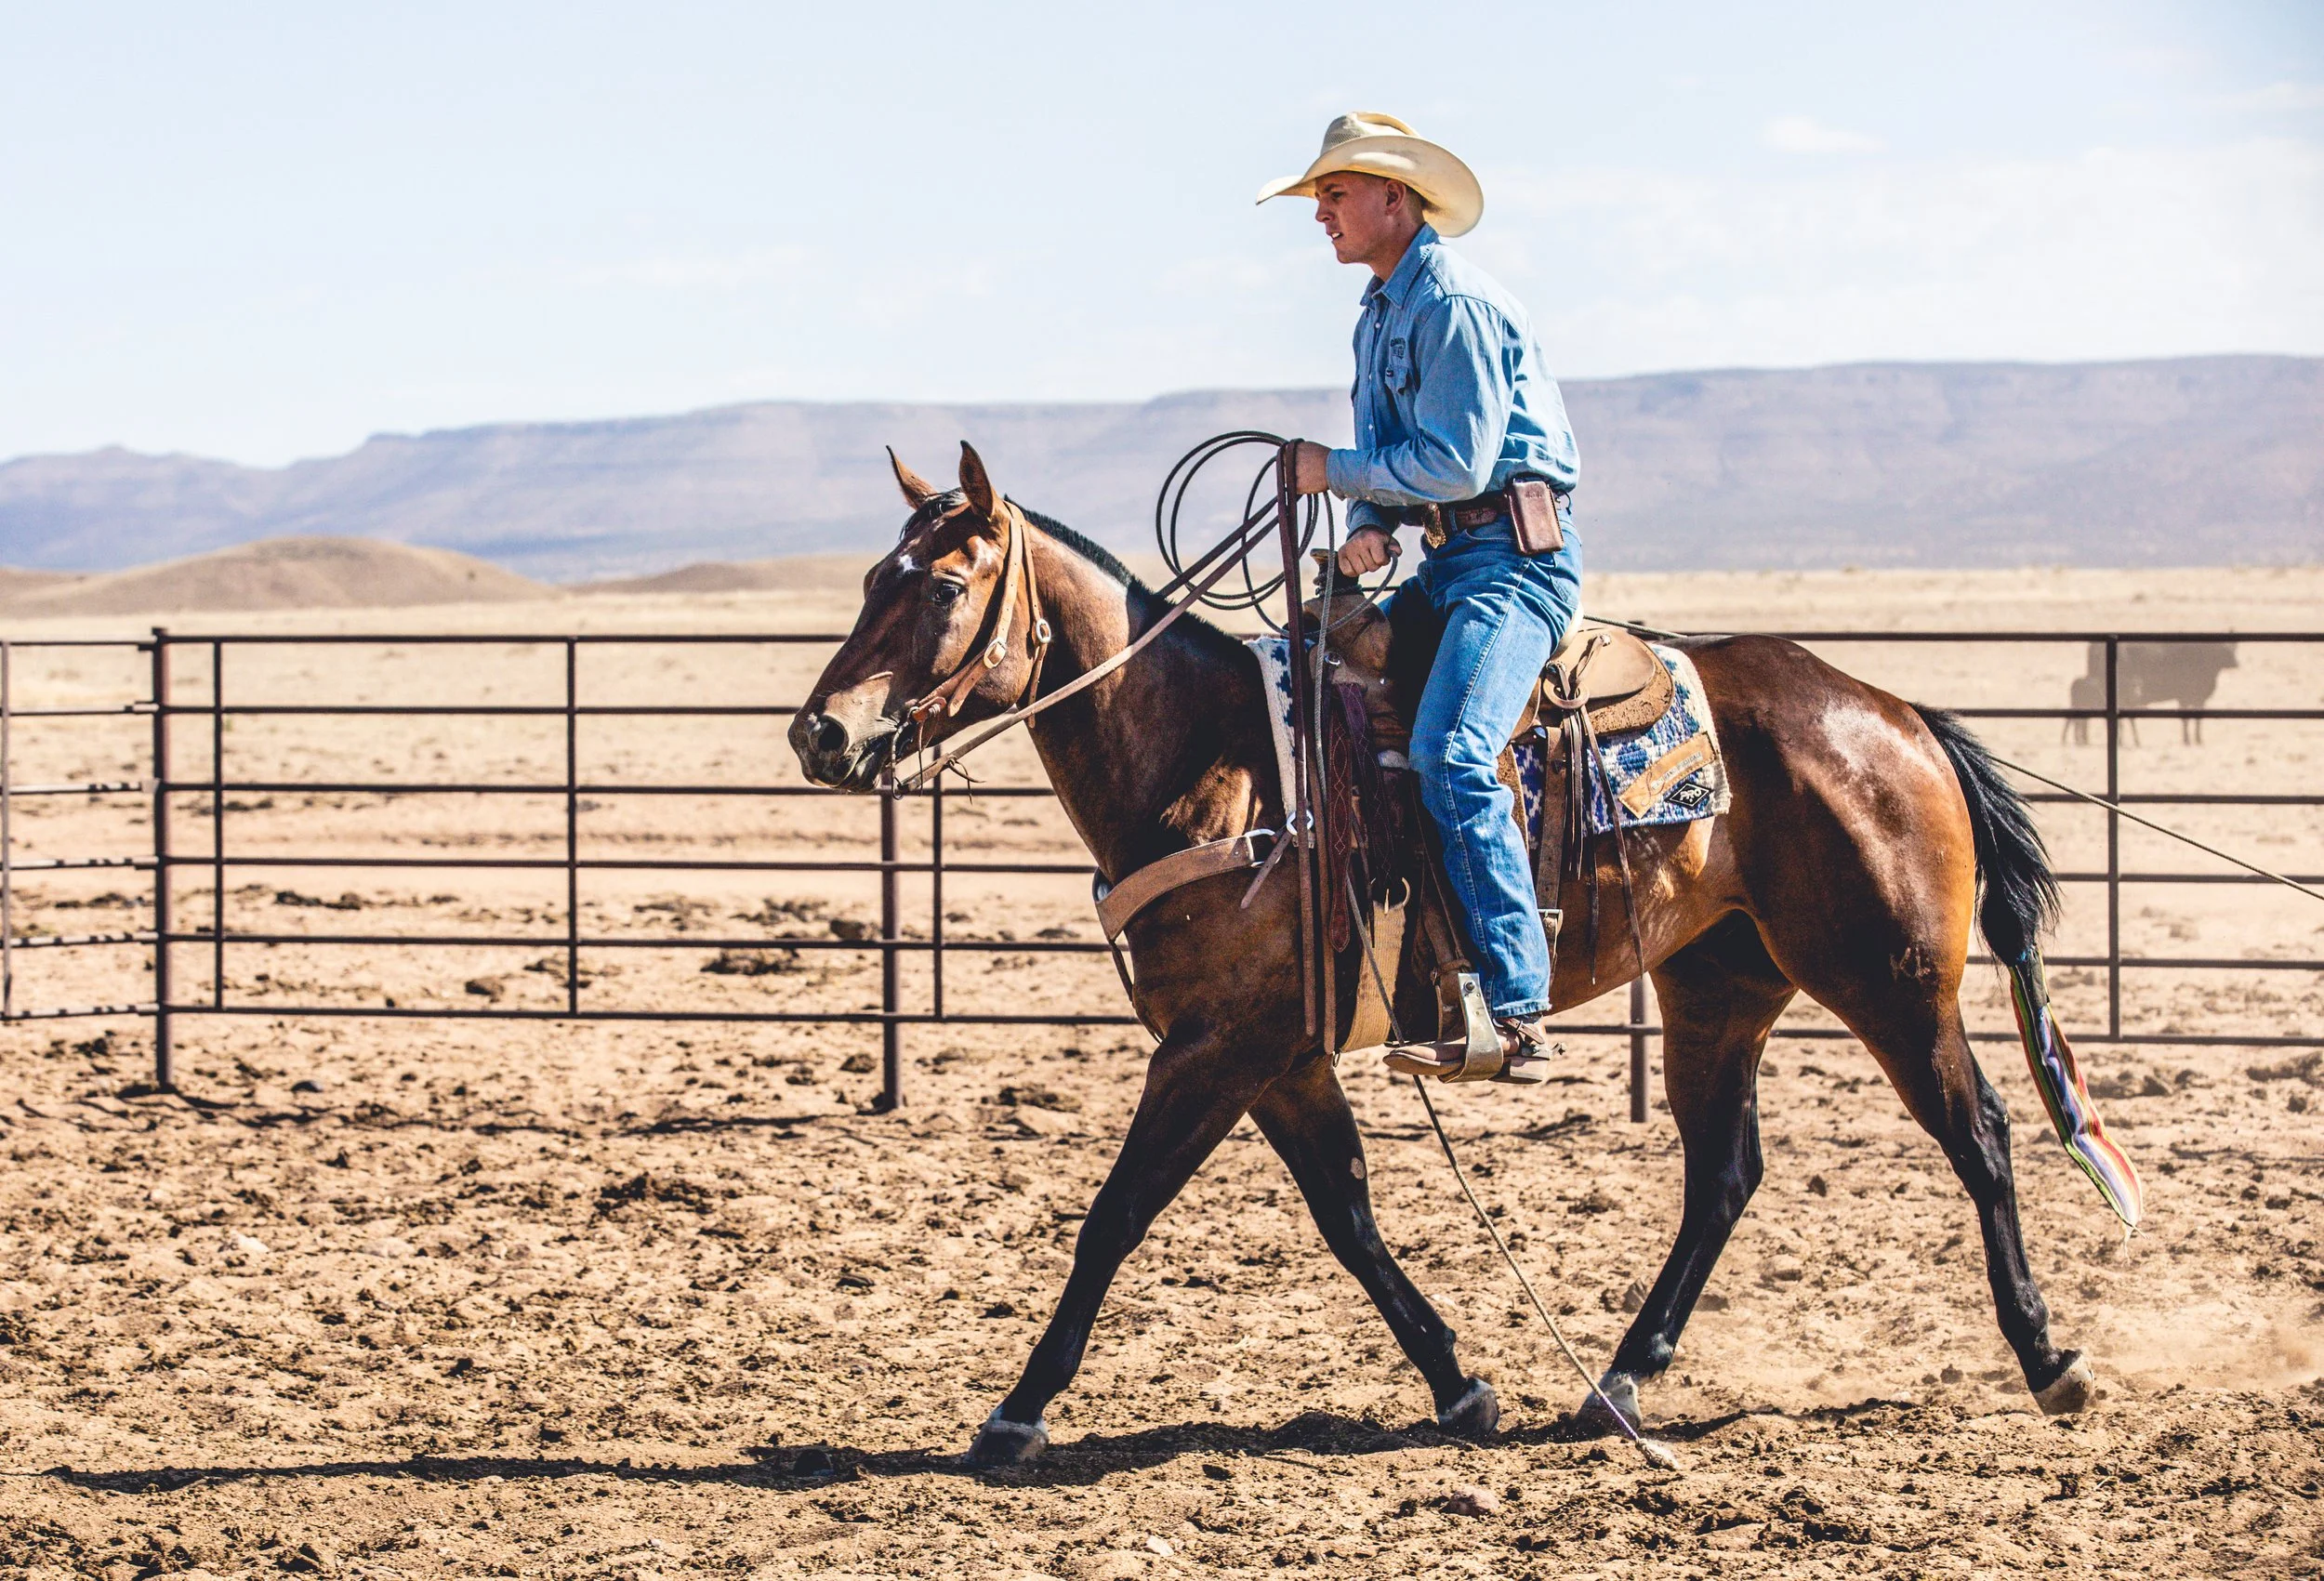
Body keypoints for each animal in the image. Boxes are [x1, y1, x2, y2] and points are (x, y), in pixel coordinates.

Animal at [791, 443, 2097, 1466]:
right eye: (867, 579)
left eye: (944, 583)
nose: (820, 735)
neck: (1214, 761)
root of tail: (1897, 714)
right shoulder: (1277, 1054)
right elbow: (1347, 1214)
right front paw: (1459, 1386)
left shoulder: (1215, 1048)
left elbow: (1115, 1213)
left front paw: (1015, 1412)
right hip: (1718, 985)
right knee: (1723, 1173)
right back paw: (1617, 1382)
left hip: (1891, 980)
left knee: (1978, 1135)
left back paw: (2048, 1360)